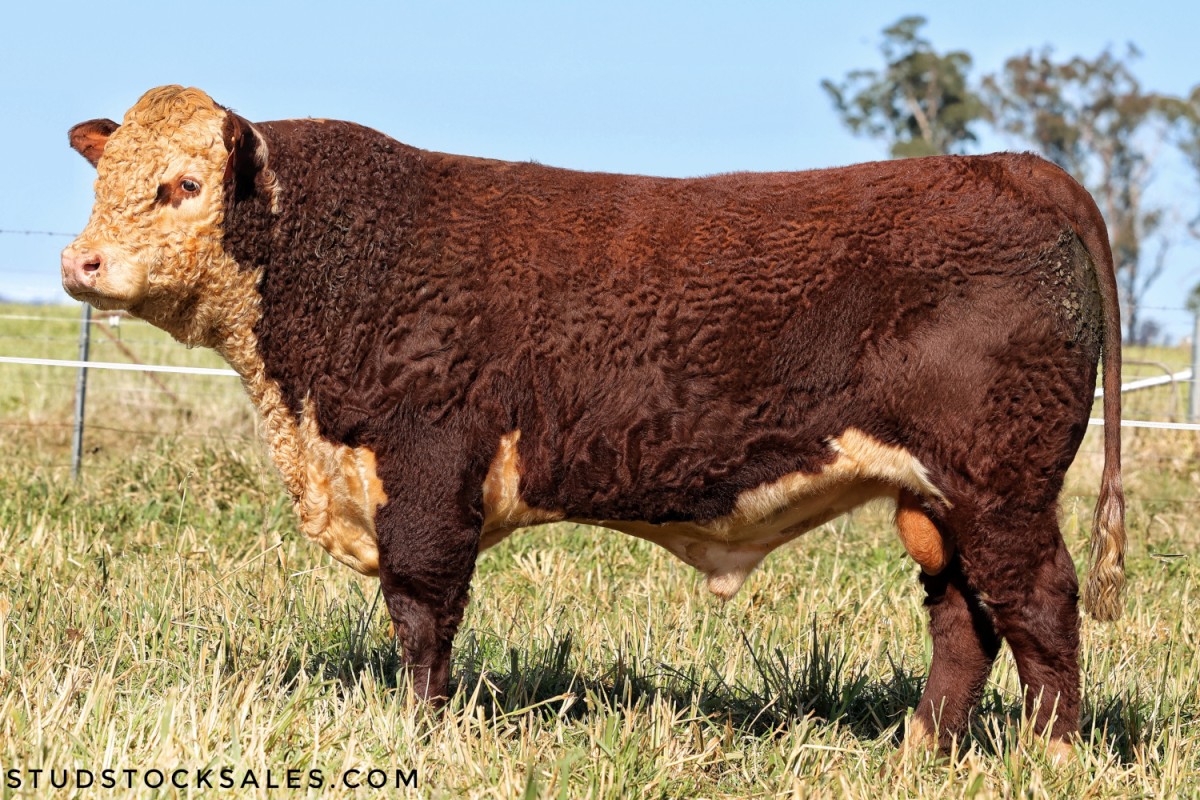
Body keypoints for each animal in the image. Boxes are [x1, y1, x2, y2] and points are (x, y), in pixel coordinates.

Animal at [62, 86, 1125, 760]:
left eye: (183, 185)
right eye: (103, 182)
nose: (82, 263)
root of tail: (1011, 169)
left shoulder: (428, 472)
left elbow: (422, 617)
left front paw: (422, 733)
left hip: (1002, 484)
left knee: (1040, 603)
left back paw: (1048, 757)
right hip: (937, 497)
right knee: (964, 621)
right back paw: (919, 751)